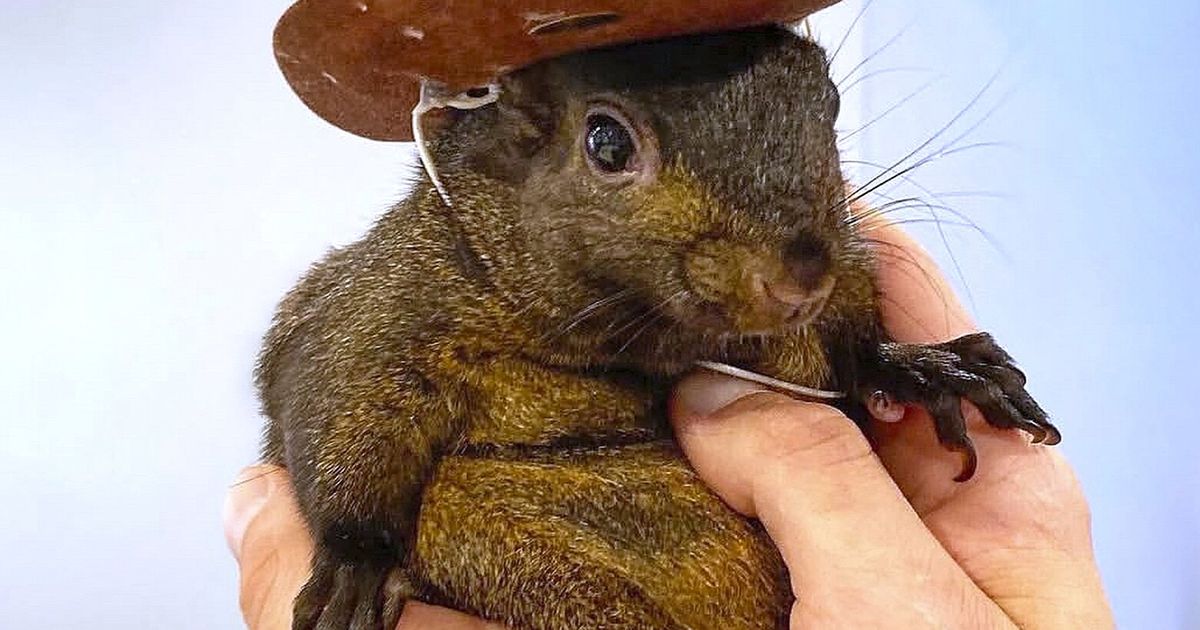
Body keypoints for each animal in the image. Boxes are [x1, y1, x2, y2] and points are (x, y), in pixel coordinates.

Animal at [257, 25, 1060, 630]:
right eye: (606, 143)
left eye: (828, 102)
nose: (801, 277)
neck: (639, 338)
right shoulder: (384, 302)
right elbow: (337, 402)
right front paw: (355, 568)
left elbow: (853, 354)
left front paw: (926, 368)